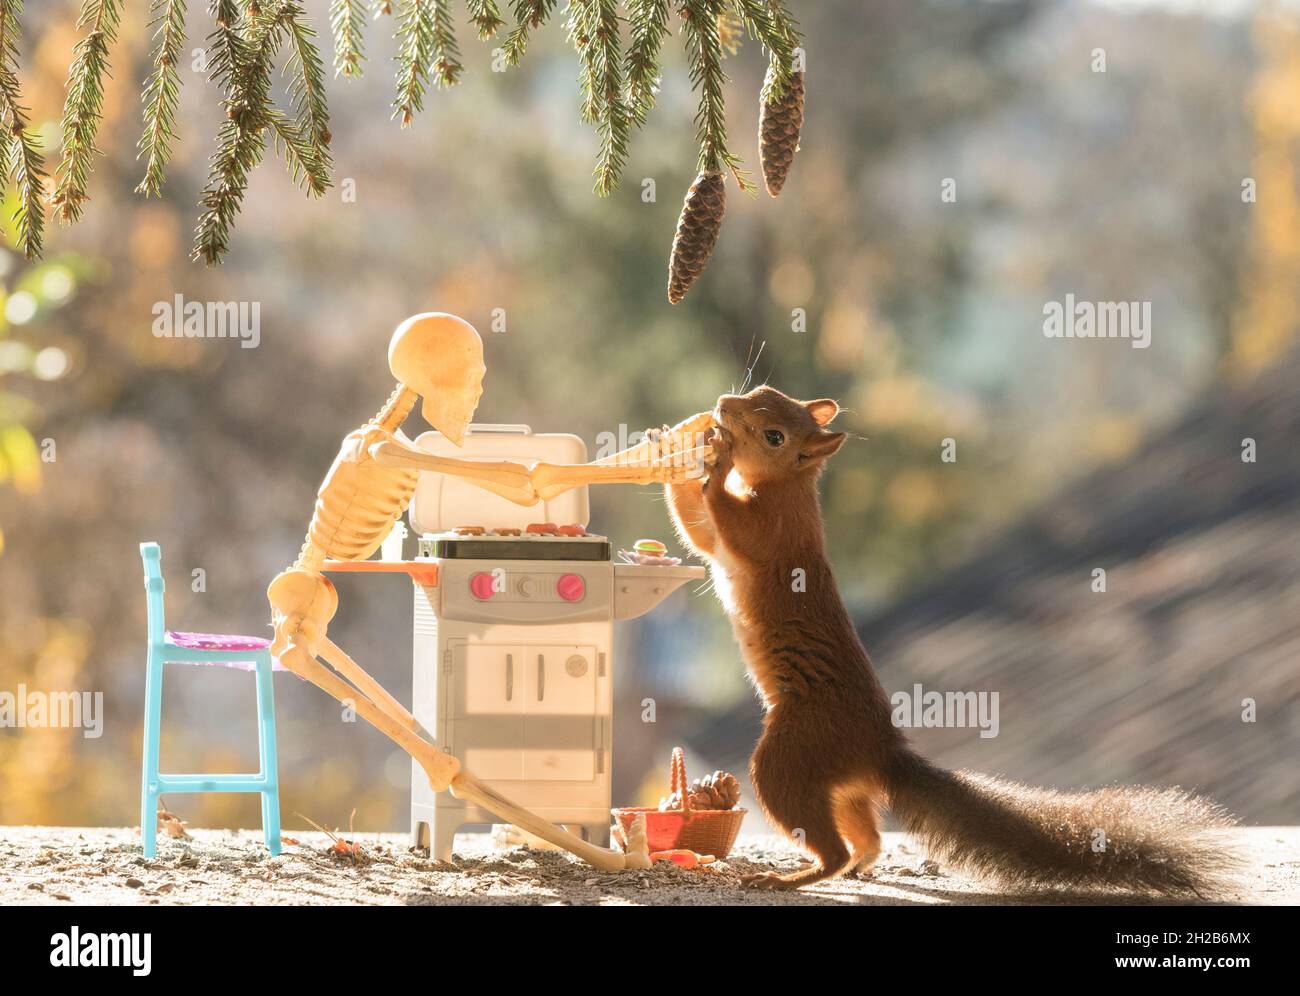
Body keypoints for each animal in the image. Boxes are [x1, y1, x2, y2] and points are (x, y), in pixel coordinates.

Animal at [662, 386, 1238, 894]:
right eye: (760, 389)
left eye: (774, 435)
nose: (722, 405)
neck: (791, 484)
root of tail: (880, 750)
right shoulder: (721, 540)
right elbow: (698, 530)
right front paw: (678, 441)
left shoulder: (771, 530)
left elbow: (729, 523)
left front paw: (714, 460)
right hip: (834, 783)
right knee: (865, 836)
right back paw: (857, 866)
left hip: (790, 755)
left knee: (833, 845)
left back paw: (792, 878)